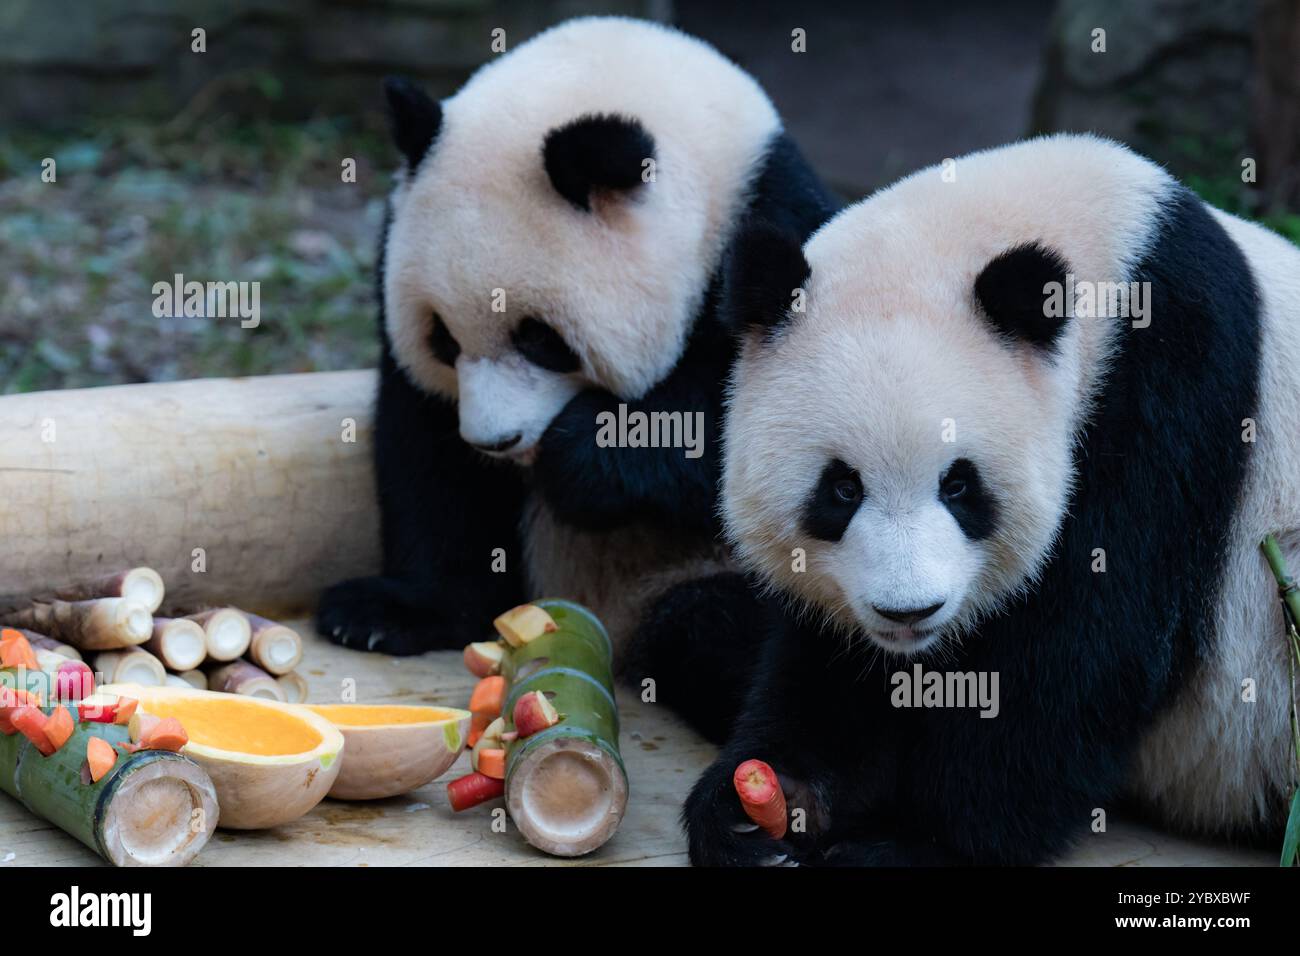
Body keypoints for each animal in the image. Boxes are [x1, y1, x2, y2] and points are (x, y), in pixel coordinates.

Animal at [317, 15, 835, 737]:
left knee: (735, 628)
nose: (495, 442)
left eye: (540, 338)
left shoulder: (780, 224)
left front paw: (581, 456)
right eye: (443, 338)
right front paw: (390, 611)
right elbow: (428, 454)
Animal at [684, 133, 1300, 865]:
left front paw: (917, 845)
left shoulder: (1168, 392)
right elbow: (836, 666)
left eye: (958, 484)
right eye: (841, 488)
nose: (909, 611)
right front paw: (762, 809)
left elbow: (1081, 651)